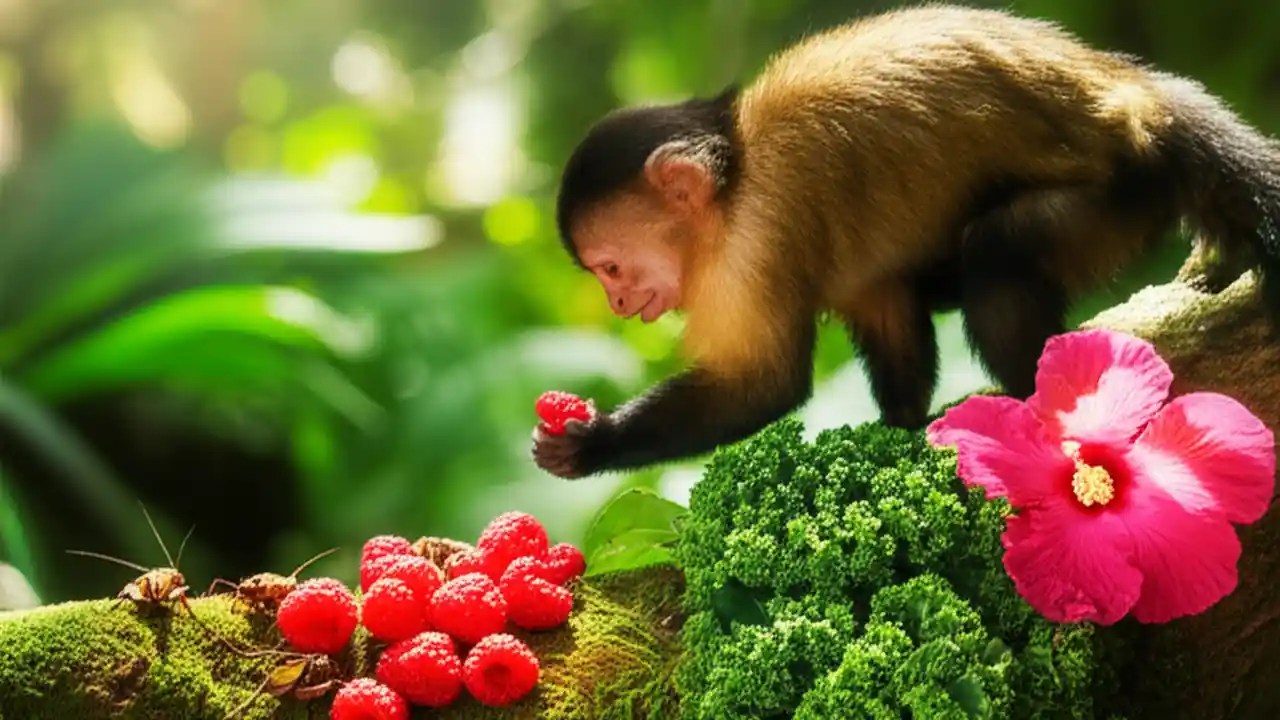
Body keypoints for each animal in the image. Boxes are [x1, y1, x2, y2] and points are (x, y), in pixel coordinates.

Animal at [532, 4, 1280, 480]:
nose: (617, 302)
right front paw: (898, 427)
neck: (735, 172)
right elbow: (878, 301)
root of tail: (1137, 100)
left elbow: (764, 385)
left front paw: (592, 443)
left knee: (996, 254)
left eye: (610, 267)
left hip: (1117, 196)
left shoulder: (752, 243)